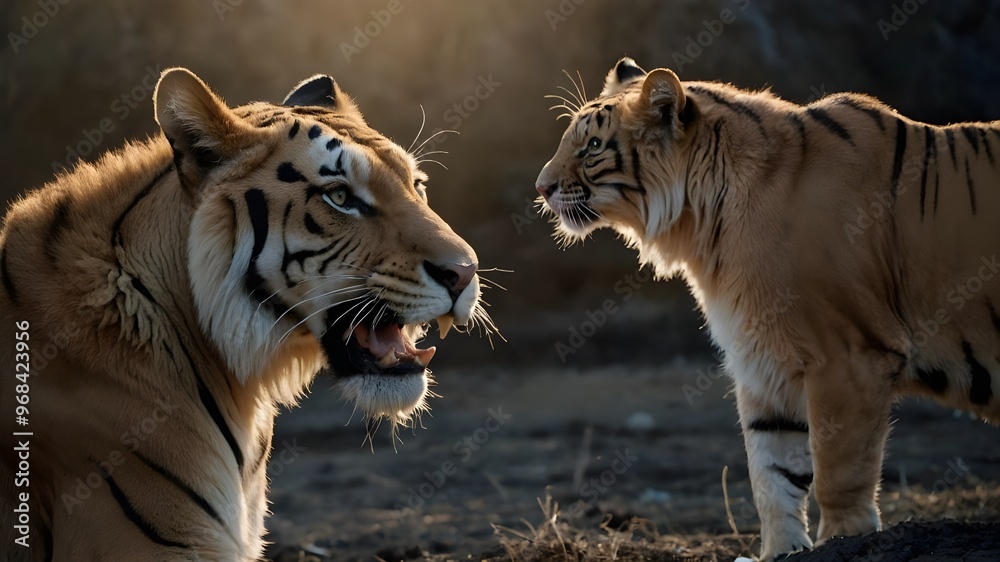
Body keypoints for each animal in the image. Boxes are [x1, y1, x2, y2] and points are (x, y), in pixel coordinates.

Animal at [535, 57, 1000, 561]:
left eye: (592, 146)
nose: (541, 188)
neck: (703, 226)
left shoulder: (848, 357)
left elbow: (839, 469)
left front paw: (844, 540)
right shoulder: (765, 359)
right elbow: (772, 477)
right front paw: (781, 550)